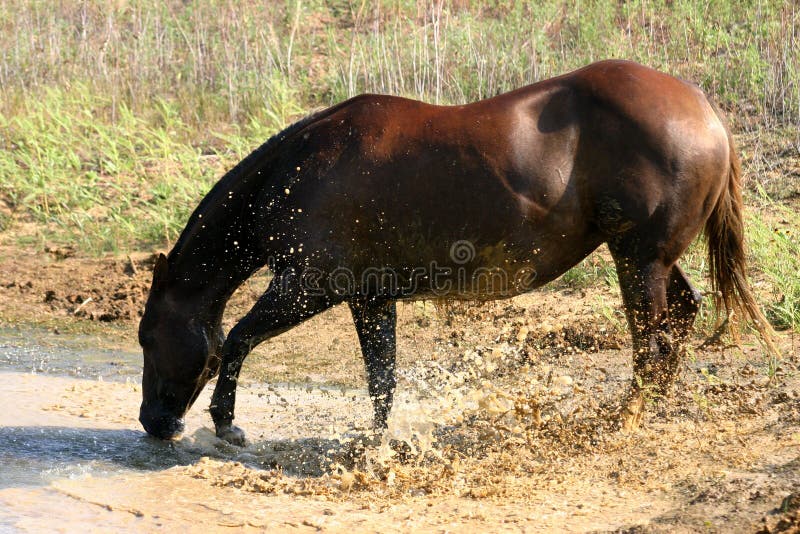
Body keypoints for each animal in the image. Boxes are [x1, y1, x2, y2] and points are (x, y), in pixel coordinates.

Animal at [138, 60, 775, 444]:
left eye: (146, 337)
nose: (152, 423)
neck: (299, 172)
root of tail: (705, 111)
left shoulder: (307, 287)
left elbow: (237, 339)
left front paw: (227, 425)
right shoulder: (370, 299)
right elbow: (382, 378)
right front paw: (378, 444)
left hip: (638, 263)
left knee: (652, 345)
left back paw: (623, 424)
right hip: (651, 261)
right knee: (677, 325)